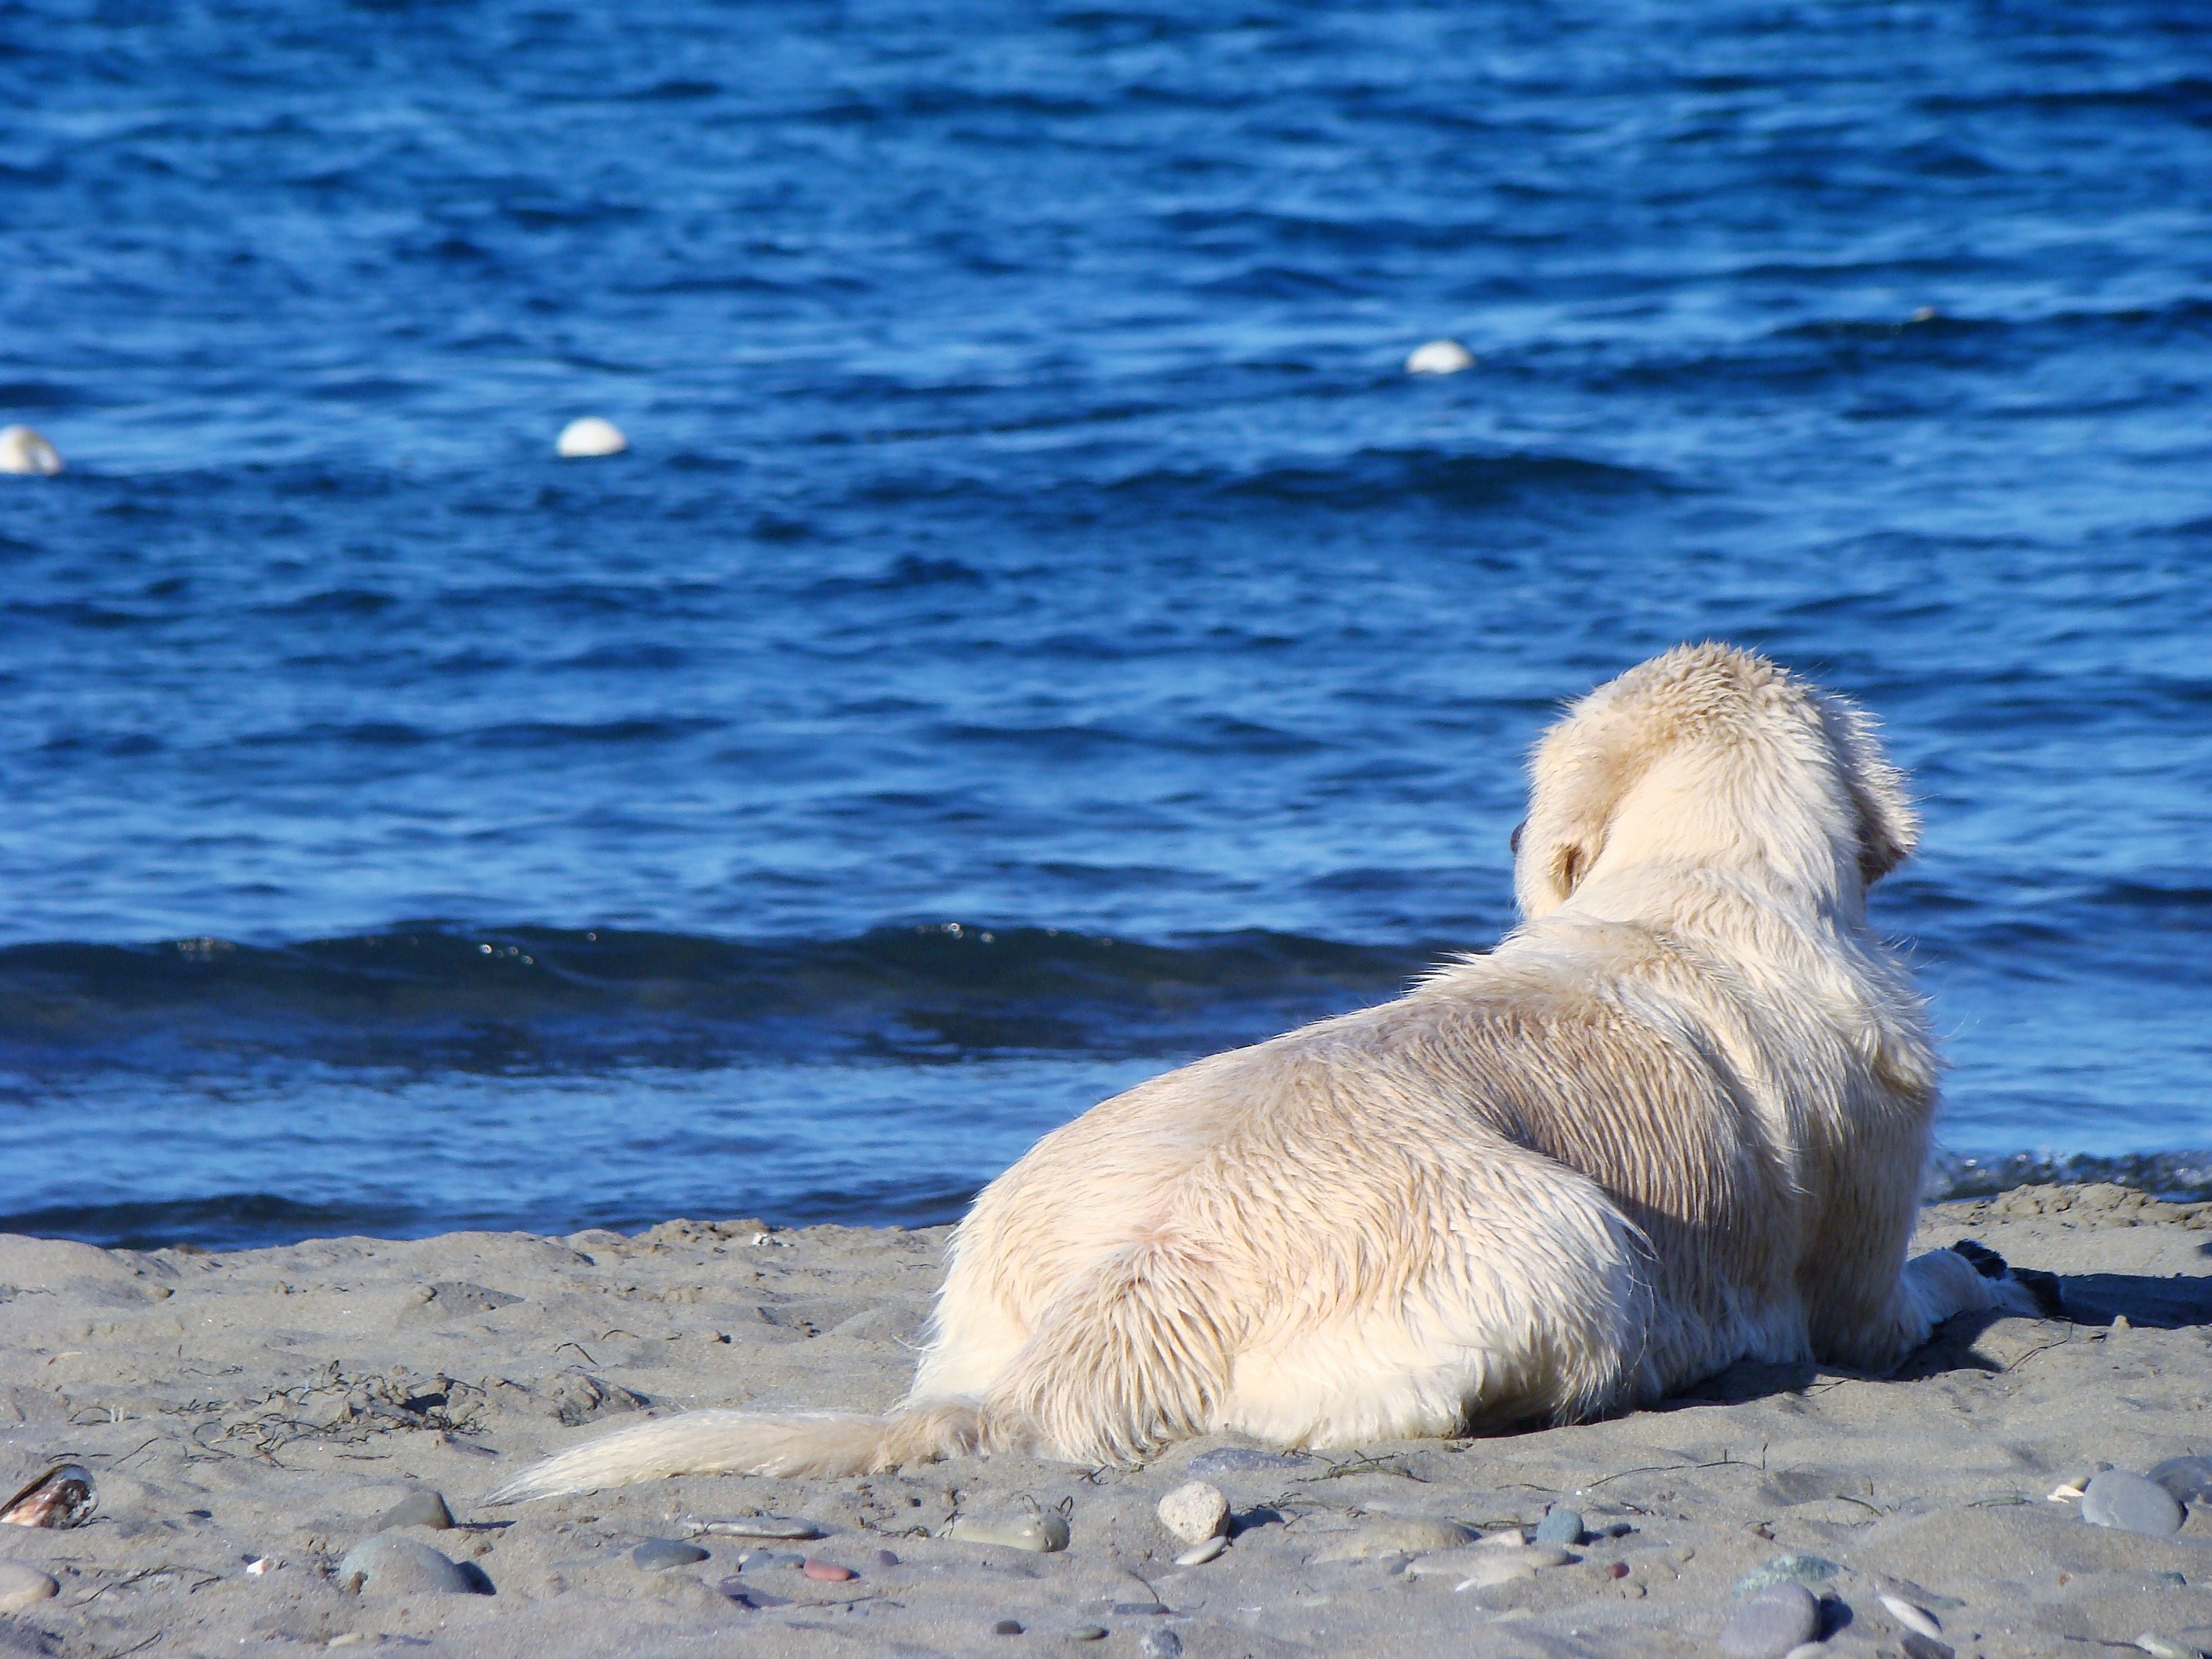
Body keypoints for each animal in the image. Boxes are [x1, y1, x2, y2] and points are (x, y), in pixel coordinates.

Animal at [493, 641, 2043, 1504]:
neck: (1701, 885)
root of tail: (1135, 1287)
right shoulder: (1857, 1269)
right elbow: (1915, 1289)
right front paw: (1990, 1269)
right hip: (1574, 1240)